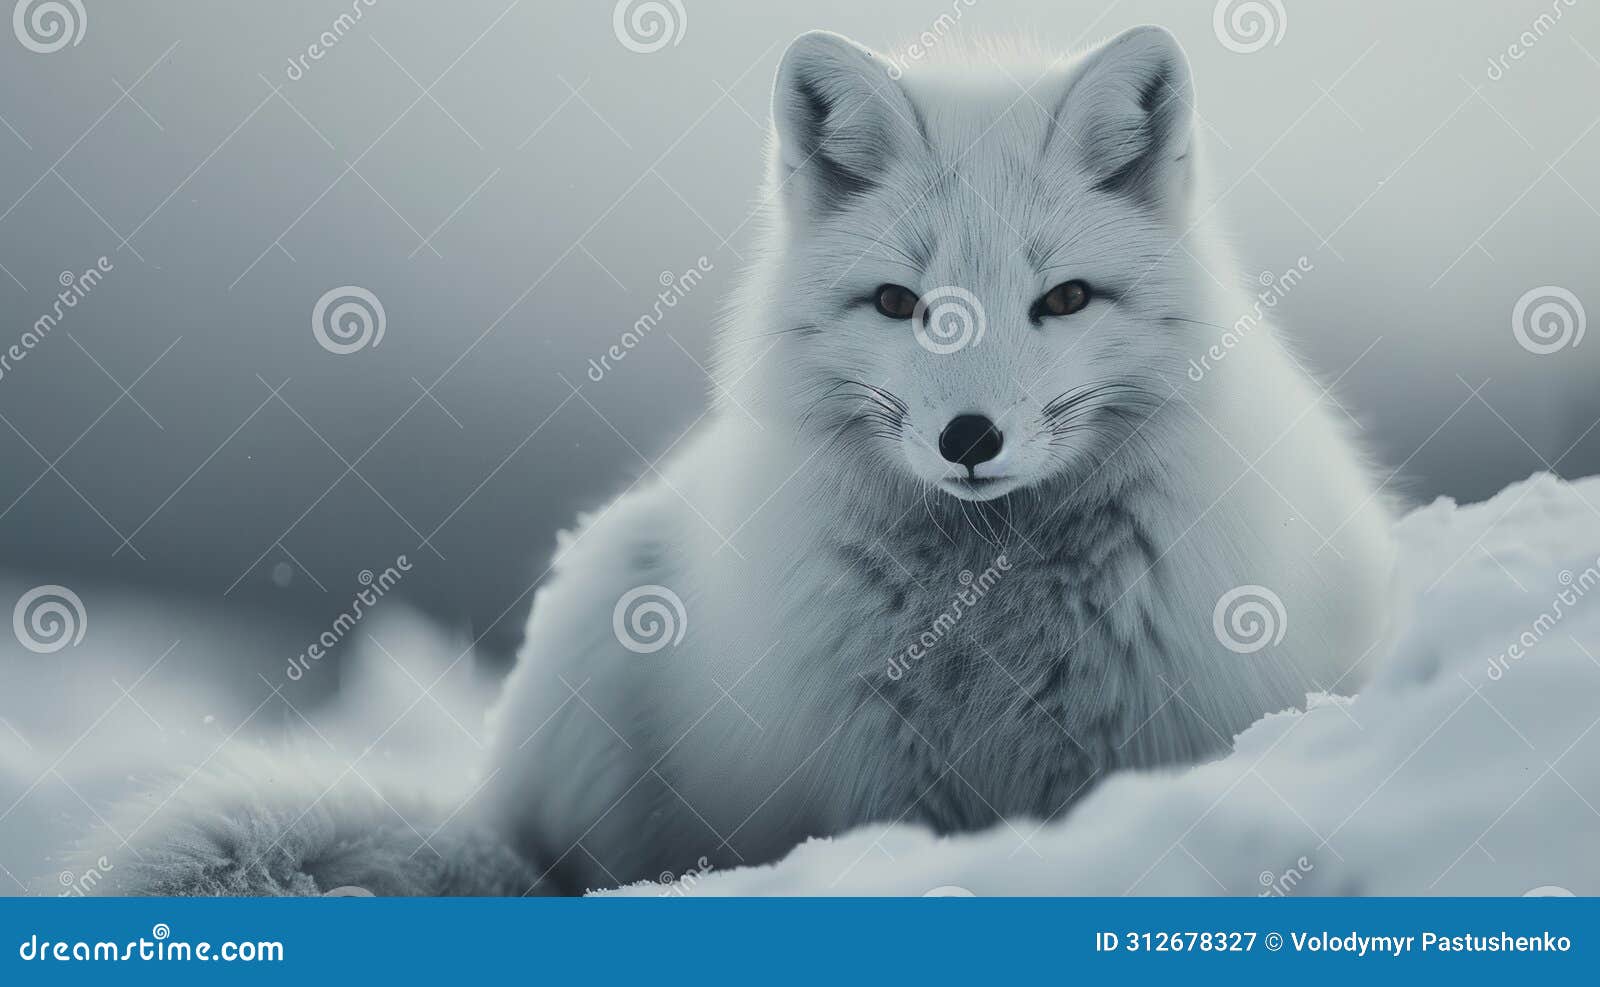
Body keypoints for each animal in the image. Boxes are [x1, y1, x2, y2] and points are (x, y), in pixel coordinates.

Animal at [76, 25, 1394, 896]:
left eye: (1063, 299)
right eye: (901, 303)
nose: (970, 439)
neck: (987, 601)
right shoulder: (871, 776)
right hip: (609, 610)